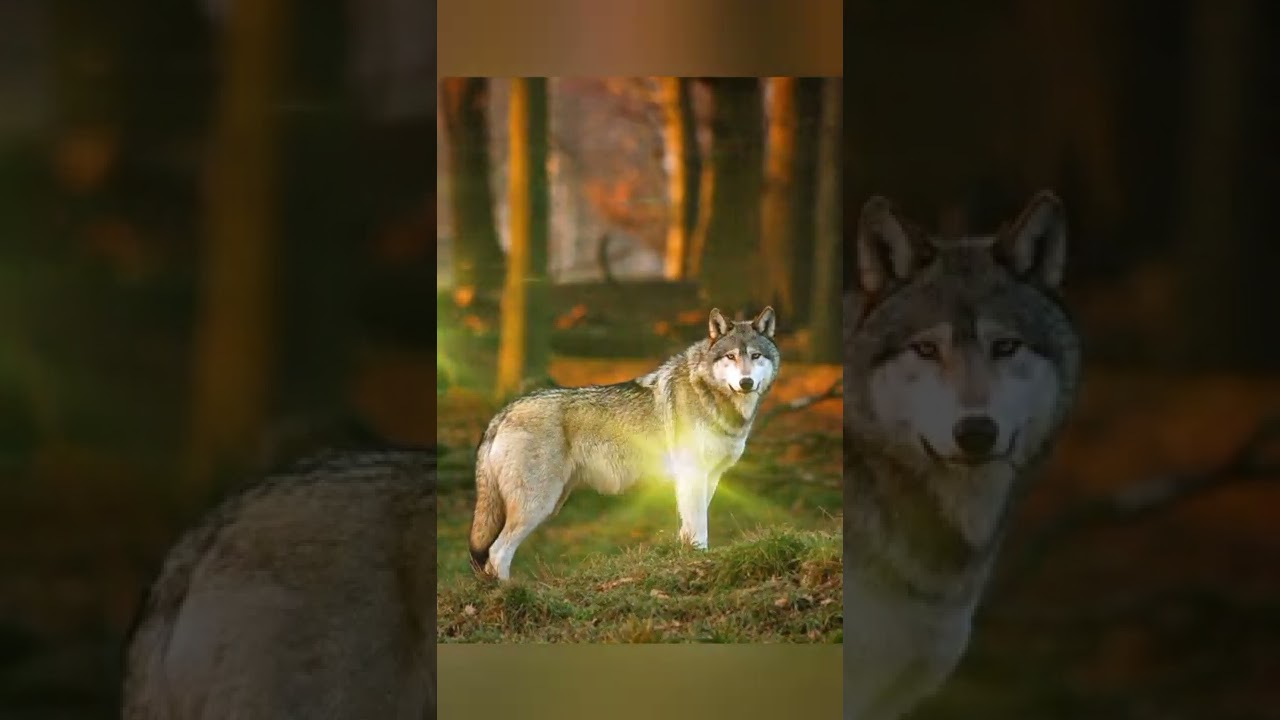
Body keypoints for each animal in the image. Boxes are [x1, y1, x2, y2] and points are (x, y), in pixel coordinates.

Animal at [469, 306, 780, 581]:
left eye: (755, 356)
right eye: (730, 356)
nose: (746, 382)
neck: (711, 394)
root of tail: (502, 414)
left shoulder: (709, 477)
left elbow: (690, 527)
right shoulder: (691, 474)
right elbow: (699, 528)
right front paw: (698, 561)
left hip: (550, 503)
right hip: (538, 505)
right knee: (497, 553)